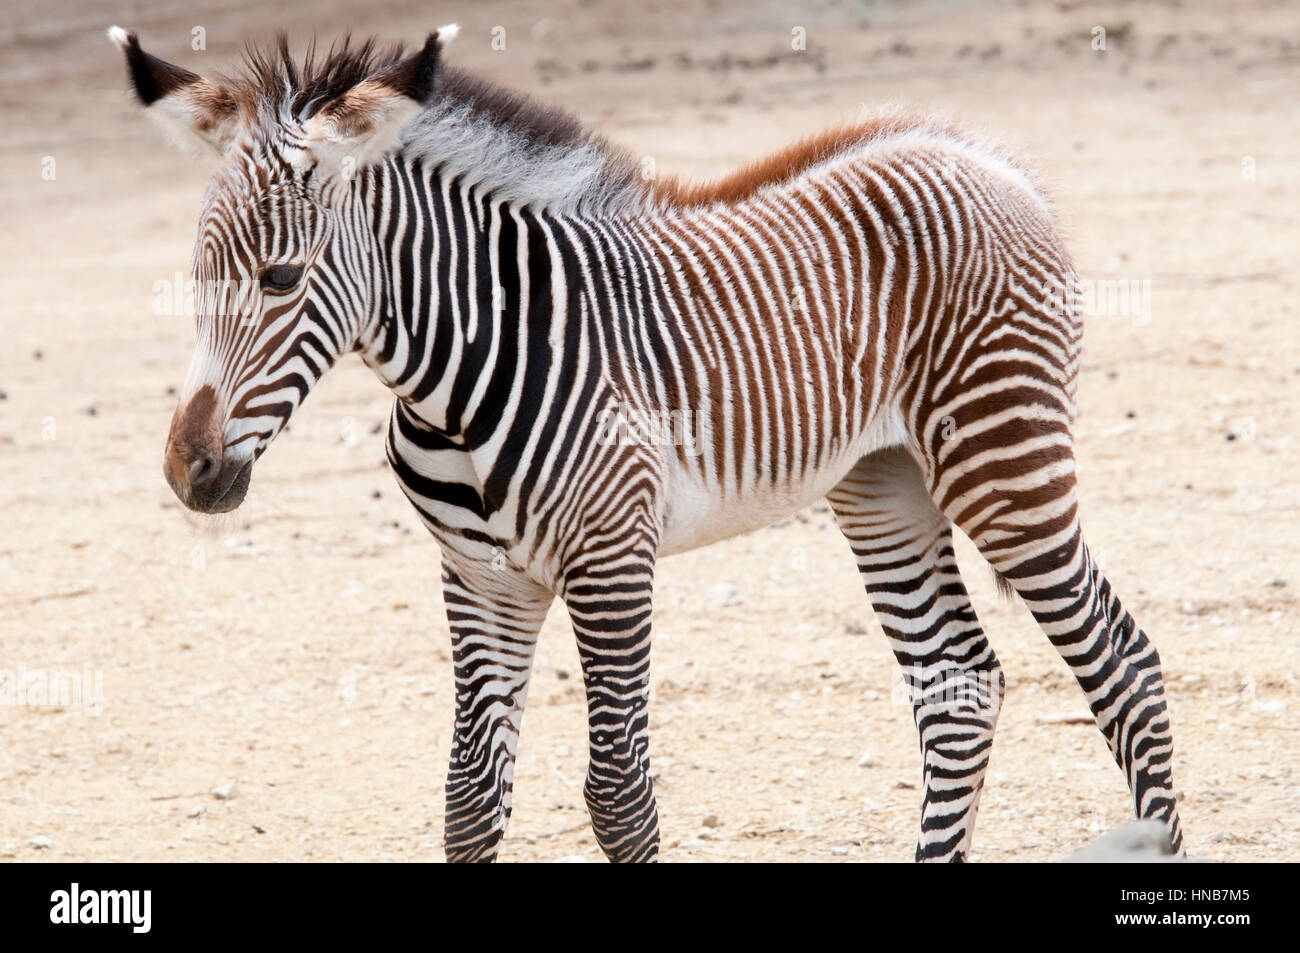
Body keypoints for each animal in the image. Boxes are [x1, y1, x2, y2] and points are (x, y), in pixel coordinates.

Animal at [110, 24, 1185, 862]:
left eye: (282, 278)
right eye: (196, 275)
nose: (188, 470)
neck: (457, 384)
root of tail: (980, 154)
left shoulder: (611, 562)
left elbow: (619, 794)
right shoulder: (480, 579)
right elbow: (469, 798)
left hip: (1004, 463)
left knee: (1123, 663)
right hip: (883, 483)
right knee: (957, 684)